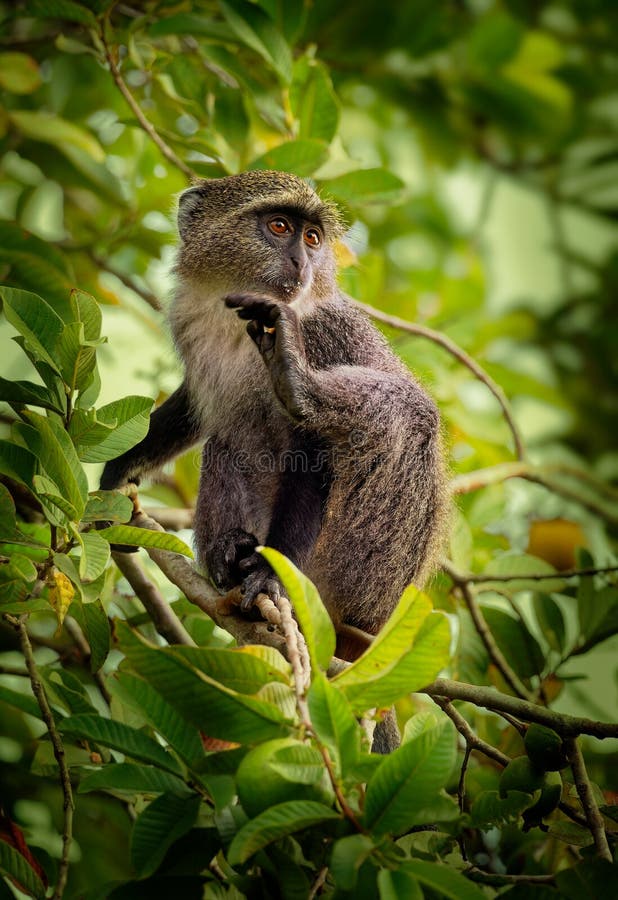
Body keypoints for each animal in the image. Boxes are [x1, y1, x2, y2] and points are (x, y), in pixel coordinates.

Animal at [101, 170, 447, 664]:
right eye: (280, 227)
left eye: (313, 237)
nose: (302, 263)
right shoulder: (189, 323)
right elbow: (193, 408)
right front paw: (116, 474)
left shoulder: (321, 335)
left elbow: (316, 458)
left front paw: (269, 575)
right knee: (225, 438)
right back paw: (228, 553)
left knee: (413, 416)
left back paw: (300, 387)